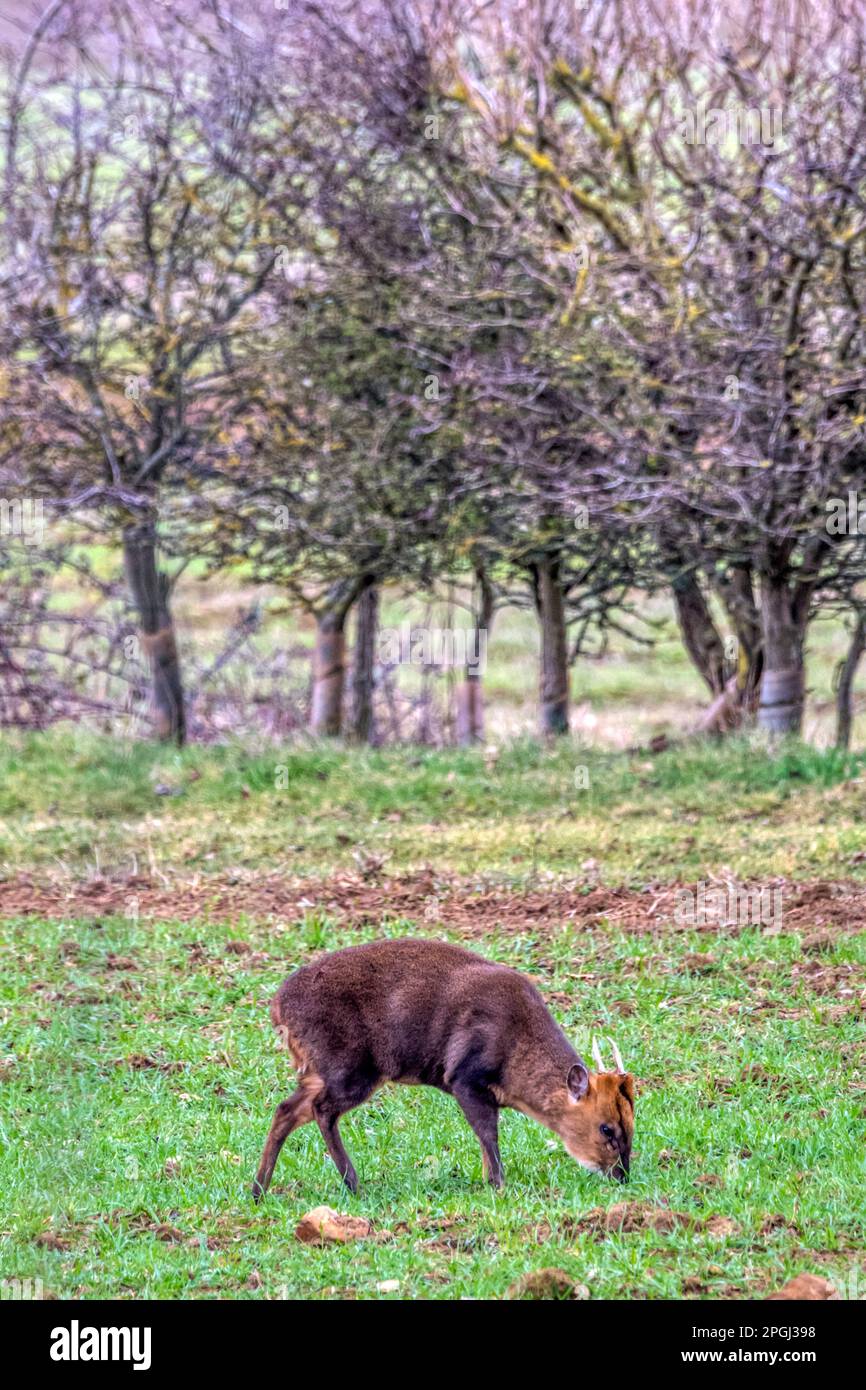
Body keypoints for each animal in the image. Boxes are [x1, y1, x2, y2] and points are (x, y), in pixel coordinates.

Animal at [252, 938, 634, 1199]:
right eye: (606, 1129)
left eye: (632, 1126)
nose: (622, 1176)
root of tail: (277, 1008)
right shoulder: (464, 1076)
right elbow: (488, 1133)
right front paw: (499, 1185)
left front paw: (489, 1180)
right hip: (350, 1066)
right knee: (321, 1110)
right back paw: (353, 1184)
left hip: (320, 1069)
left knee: (287, 1109)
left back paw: (259, 1189)